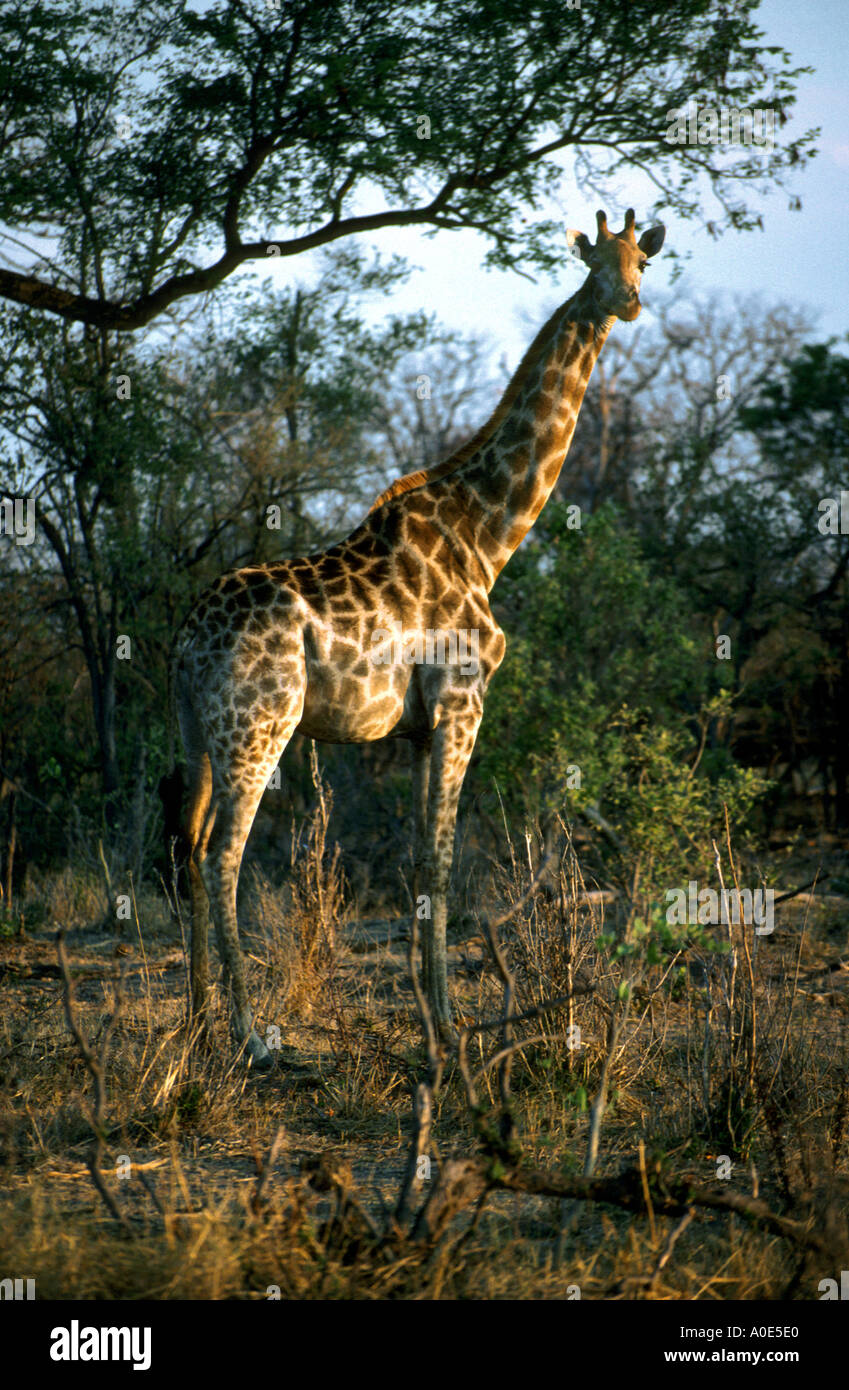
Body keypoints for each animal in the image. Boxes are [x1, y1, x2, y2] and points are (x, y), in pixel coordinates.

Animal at [173, 208, 666, 1067]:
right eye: (597, 262)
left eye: (643, 261)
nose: (627, 303)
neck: (491, 532)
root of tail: (185, 643)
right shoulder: (463, 702)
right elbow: (440, 861)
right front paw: (449, 1030)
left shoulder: (412, 728)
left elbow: (415, 864)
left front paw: (432, 1020)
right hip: (259, 723)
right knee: (222, 855)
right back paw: (250, 1037)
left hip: (197, 730)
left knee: (191, 845)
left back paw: (203, 1024)